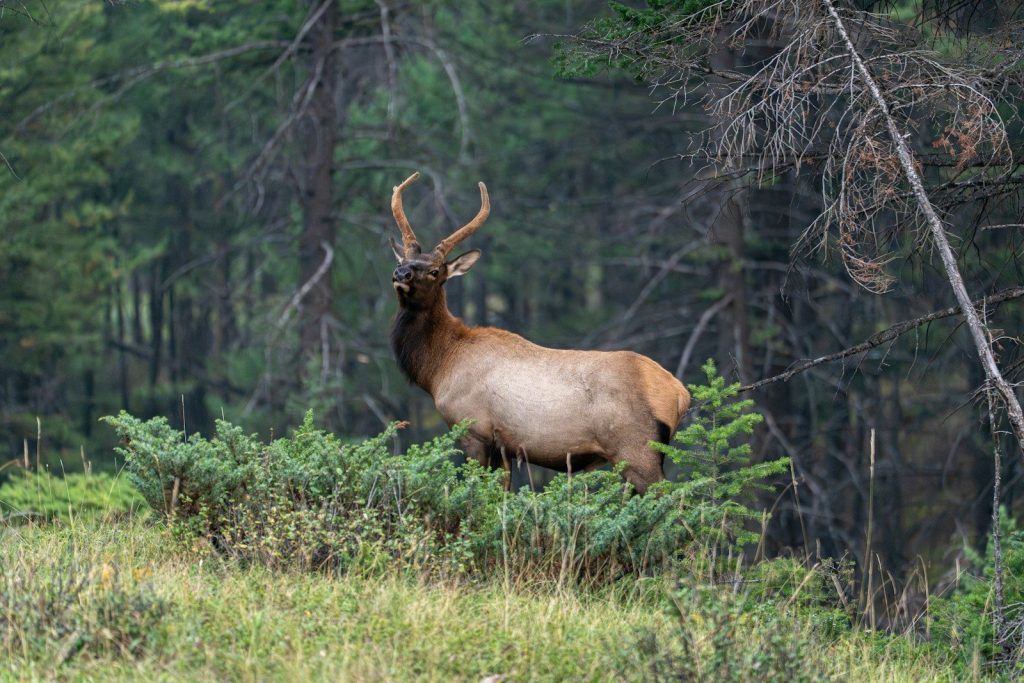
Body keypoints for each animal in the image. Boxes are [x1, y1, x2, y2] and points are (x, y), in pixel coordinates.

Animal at [387, 172, 690, 493]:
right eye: (400, 261)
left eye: (435, 271)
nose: (402, 274)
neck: (439, 367)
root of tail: (680, 394)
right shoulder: (504, 446)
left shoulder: (474, 430)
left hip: (636, 449)